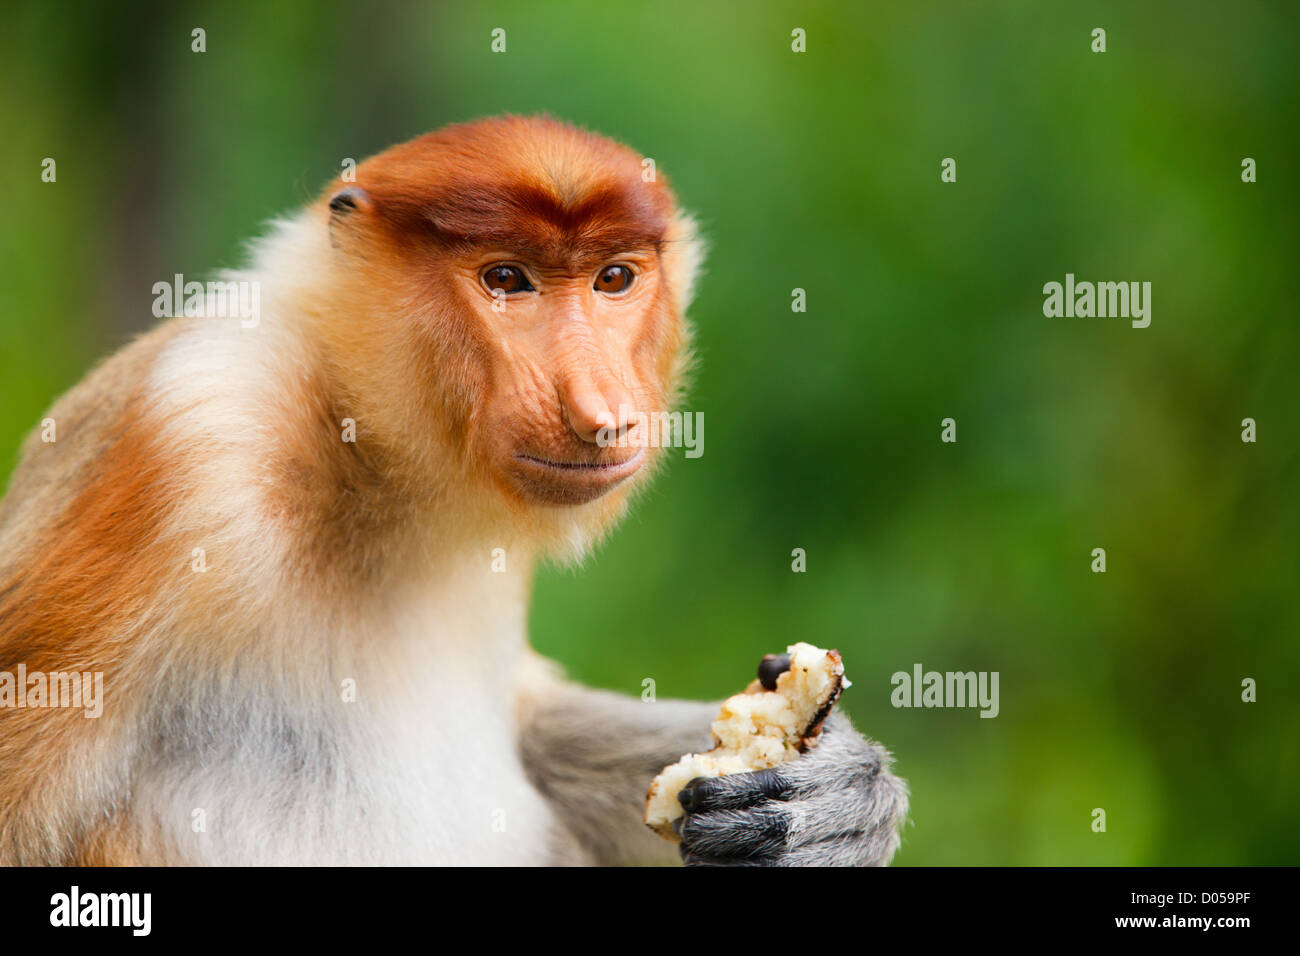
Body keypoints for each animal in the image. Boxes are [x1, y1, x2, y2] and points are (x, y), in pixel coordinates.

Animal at [0, 115, 906, 865]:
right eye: (506, 278)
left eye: (614, 278)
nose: (600, 412)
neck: (357, 446)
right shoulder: (194, 434)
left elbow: (531, 717)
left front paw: (841, 796)